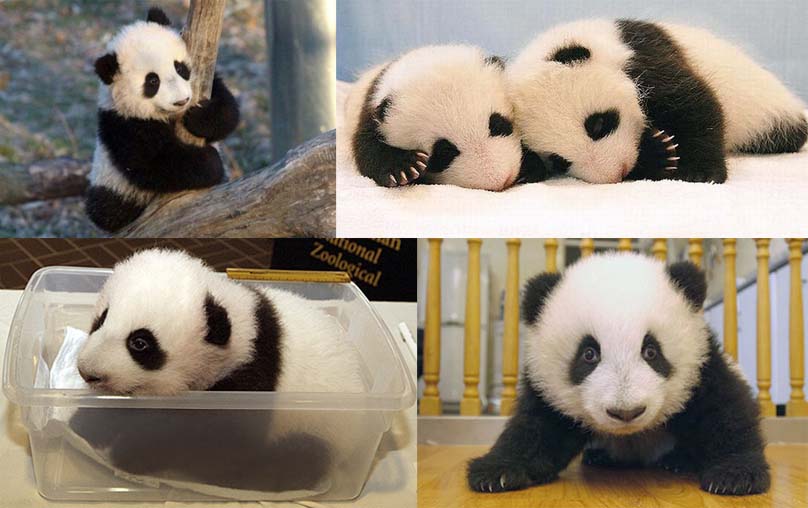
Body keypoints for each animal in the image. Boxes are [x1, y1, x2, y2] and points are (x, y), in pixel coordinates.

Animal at [86, 7, 240, 232]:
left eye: (179, 68)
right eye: (152, 81)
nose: (182, 100)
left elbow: (228, 109)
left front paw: (200, 118)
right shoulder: (123, 124)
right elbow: (155, 162)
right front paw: (211, 162)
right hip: (111, 184)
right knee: (105, 208)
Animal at [345, 45, 538, 191]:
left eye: (498, 124)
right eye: (444, 152)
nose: (500, 179)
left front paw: (529, 169)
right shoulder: (371, 115)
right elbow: (368, 149)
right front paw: (404, 168)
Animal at [468, 253, 769, 496]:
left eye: (651, 351)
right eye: (589, 354)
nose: (626, 412)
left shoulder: (701, 366)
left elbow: (724, 412)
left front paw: (735, 475)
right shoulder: (548, 387)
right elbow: (536, 427)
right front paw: (496, 472)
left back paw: (678, 460)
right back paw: (602, 456)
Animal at [506, 19, 808, 184]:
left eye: (598, 125)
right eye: (559, 161)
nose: (616, 172)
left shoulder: (643, 56)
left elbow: (693, 103)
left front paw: (700, 172)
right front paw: (658, 152)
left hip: (768, 110)